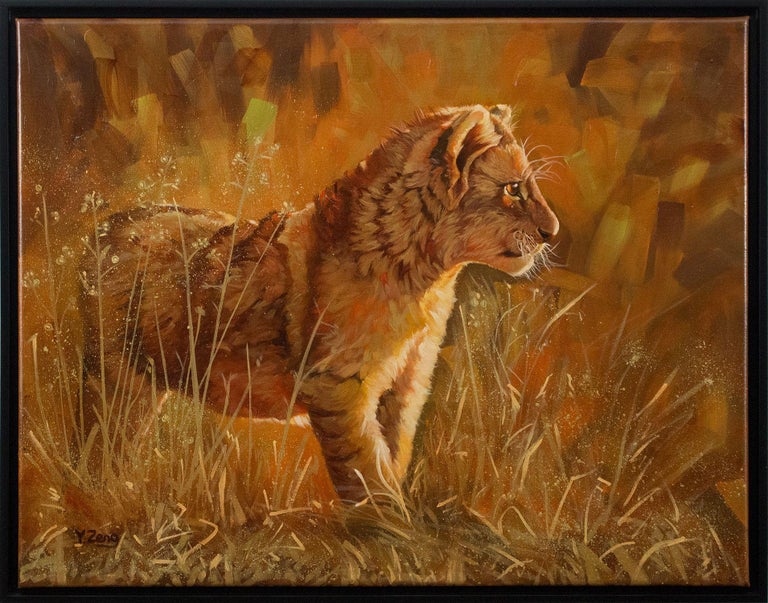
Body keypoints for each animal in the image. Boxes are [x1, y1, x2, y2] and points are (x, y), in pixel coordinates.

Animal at [80, 105, 559, 502]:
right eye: (514, 189)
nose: (551, 232)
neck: (426, 278)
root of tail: (104, 227)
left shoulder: (406, 386)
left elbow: (393, 457)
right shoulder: (338, 385)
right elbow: (366, 473)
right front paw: (390, 533)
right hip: (117, 385)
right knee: (99, 449)